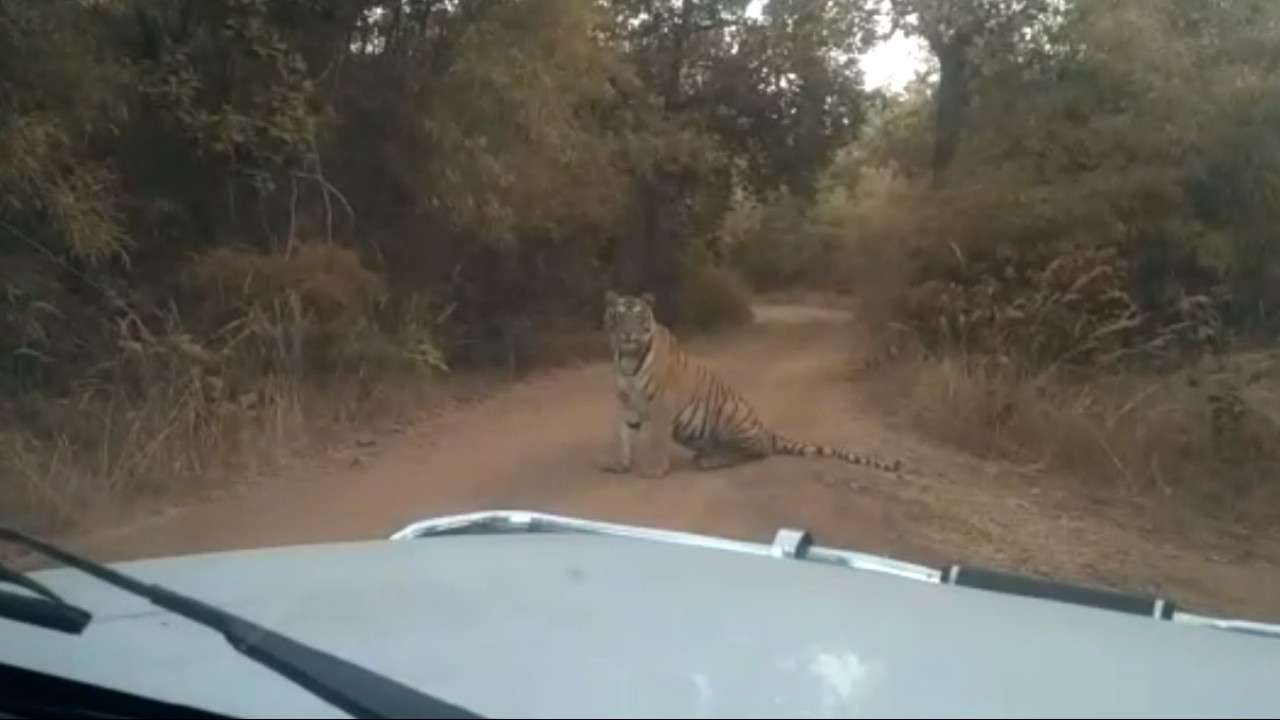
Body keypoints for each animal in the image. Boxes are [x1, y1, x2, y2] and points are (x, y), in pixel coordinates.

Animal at [602, 290, 904, 479]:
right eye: (619, 315)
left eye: (638, 316)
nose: (628, 334)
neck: (628, 359)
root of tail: (766, 430)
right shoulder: (629, 404)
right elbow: (624, 434)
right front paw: (619, 464)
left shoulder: (663, 405)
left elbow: (656, 440)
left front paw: (654, 469)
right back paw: (707, 456)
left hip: (730, 411)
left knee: (756, 452)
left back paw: (712, 461)